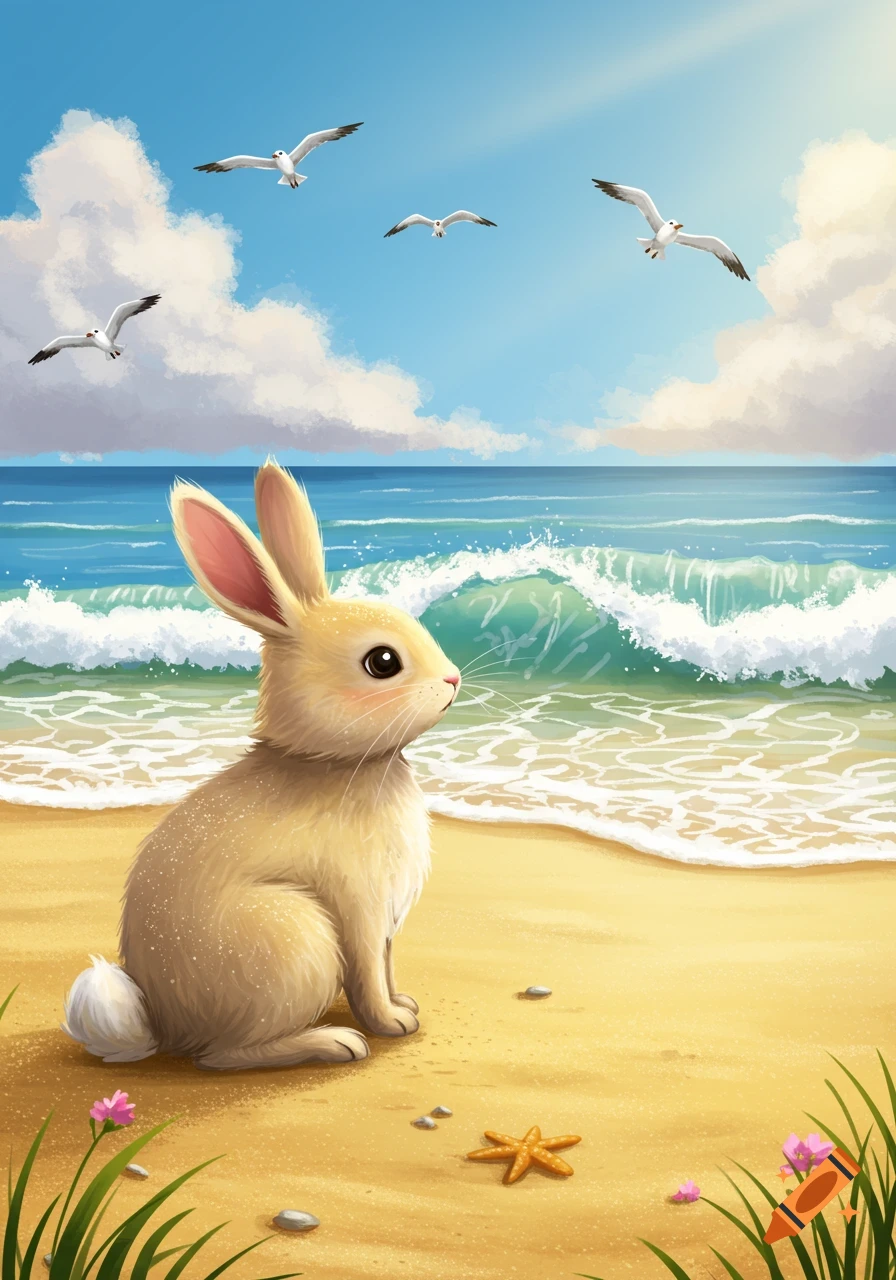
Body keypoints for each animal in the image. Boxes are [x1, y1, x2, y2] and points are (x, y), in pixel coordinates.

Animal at [62, 460, 461, 1070]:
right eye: (382, 662)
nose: (454, 679)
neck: (335, 763)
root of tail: (164, 1029)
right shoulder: (361, 910)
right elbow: (370, 976)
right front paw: (392, 1024)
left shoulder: (386, 924)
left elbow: (388, 970)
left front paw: (405, 1003)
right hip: (294, 937)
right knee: (222, 1057)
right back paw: (334, 1042)